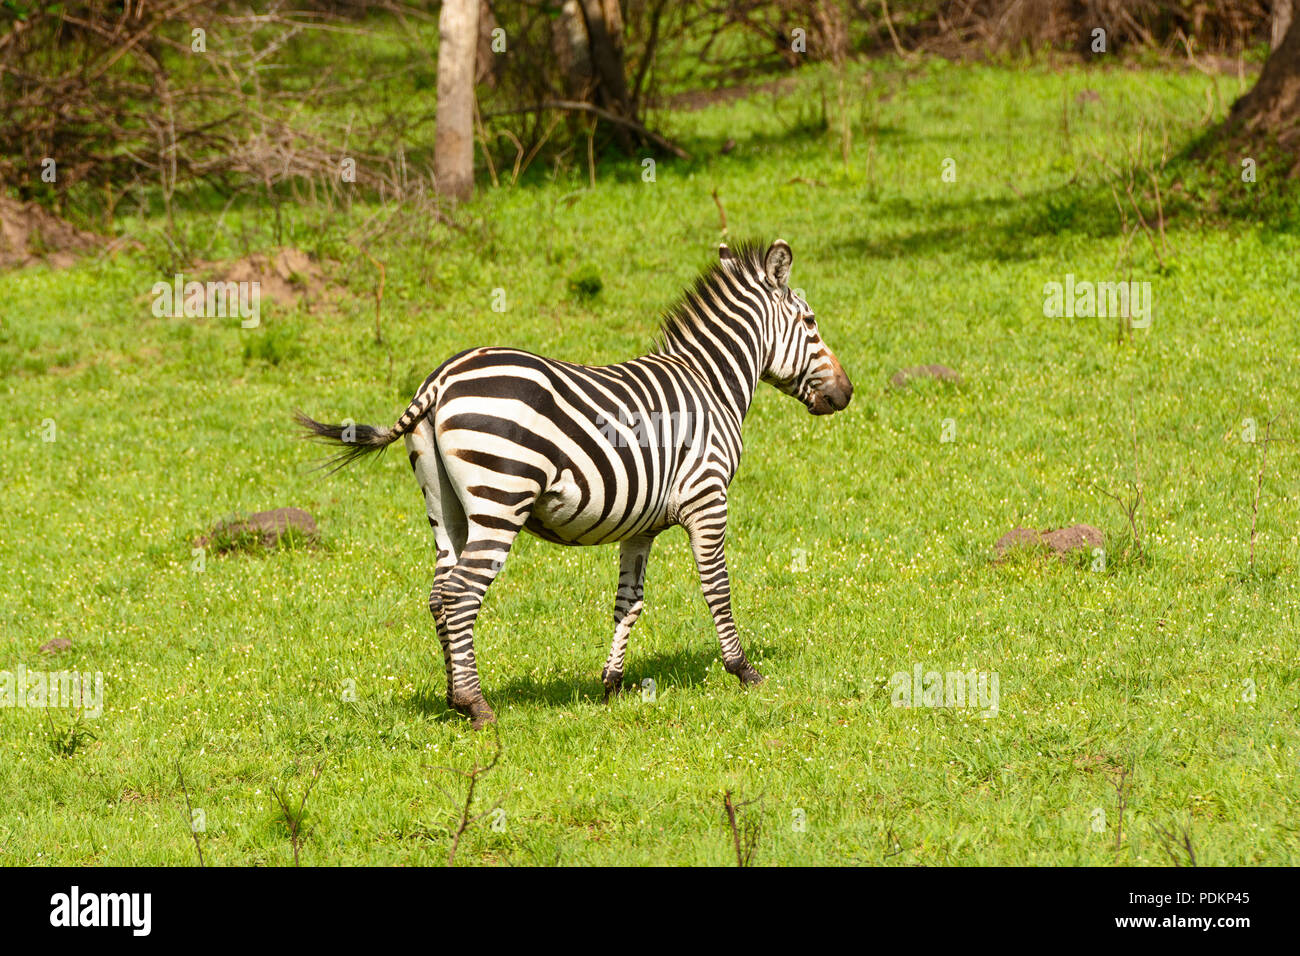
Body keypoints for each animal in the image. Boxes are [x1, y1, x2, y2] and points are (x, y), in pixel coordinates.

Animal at [296, 239, 852, 729]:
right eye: (810, 322)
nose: (846, 393)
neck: (710, 384)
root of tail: (441, 378)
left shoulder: (640, 524)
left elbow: (629, 602)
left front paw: (612, 684)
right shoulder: (707, 497)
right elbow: (718, 587)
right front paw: (743, 671)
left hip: (444, 505)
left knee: (439, 592)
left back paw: (453, 699)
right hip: (500, 500)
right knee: (461, 594)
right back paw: (477, 706)